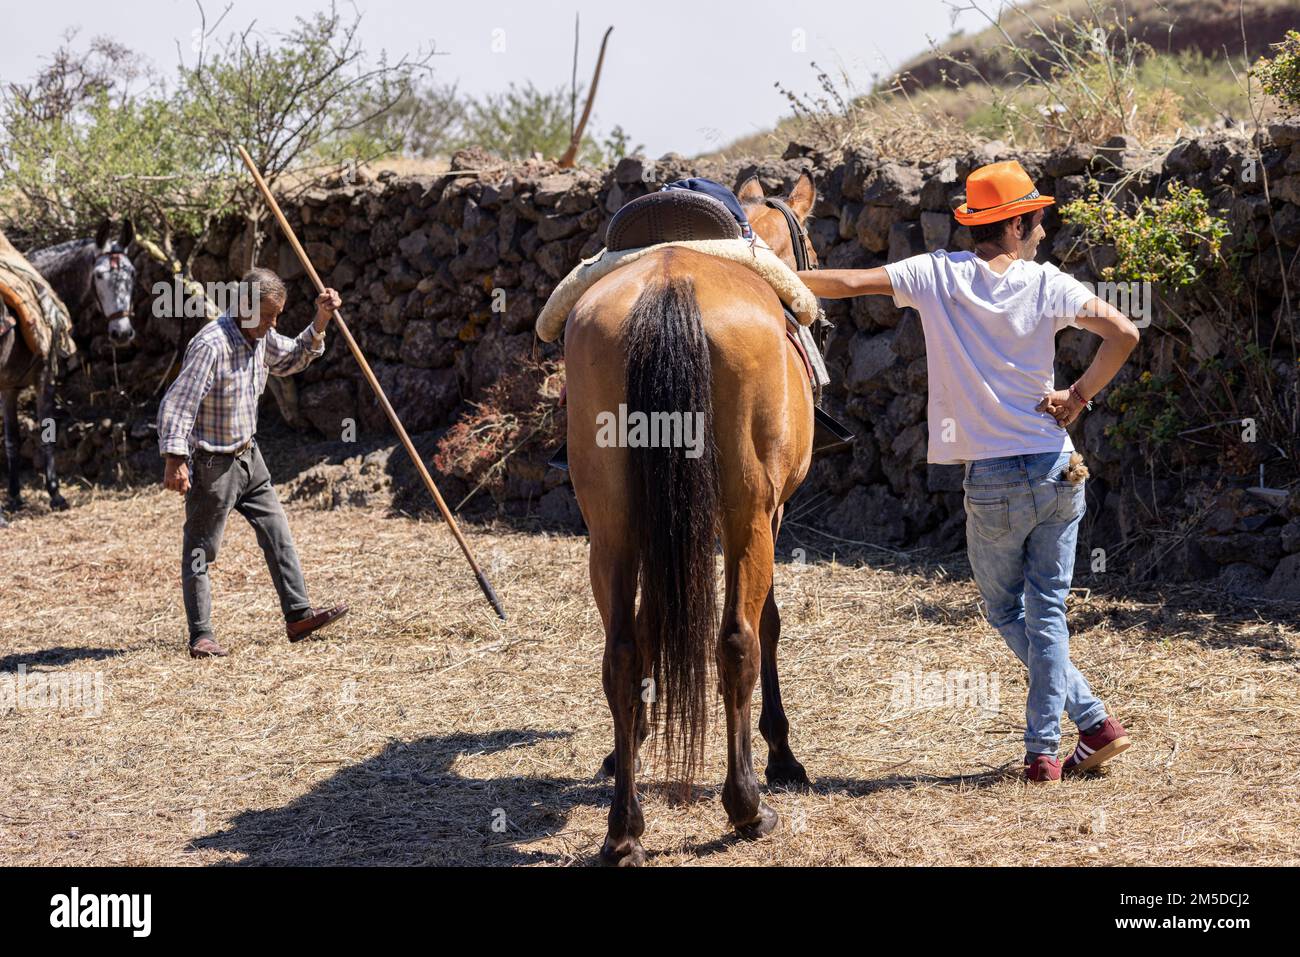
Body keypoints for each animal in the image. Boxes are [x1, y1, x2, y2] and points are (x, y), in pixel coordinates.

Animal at [1, 220, 137, 522]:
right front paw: (55, 494)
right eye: (98, 275)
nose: (121, 332)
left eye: (132, 273)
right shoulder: (44, 377)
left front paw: (15, 496)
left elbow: (12, 441)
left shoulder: (9, 387)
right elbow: (46, 434)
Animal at [565, 172, 818, 865]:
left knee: (621, 653)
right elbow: (768, 625)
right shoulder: (770, 515)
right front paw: (782, 751)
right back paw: (747, 804)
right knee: (735, 641)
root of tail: (670, 284)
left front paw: (631, 741)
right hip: (747, 519)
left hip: (612, 529)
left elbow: (652, 621)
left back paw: (624, 828)